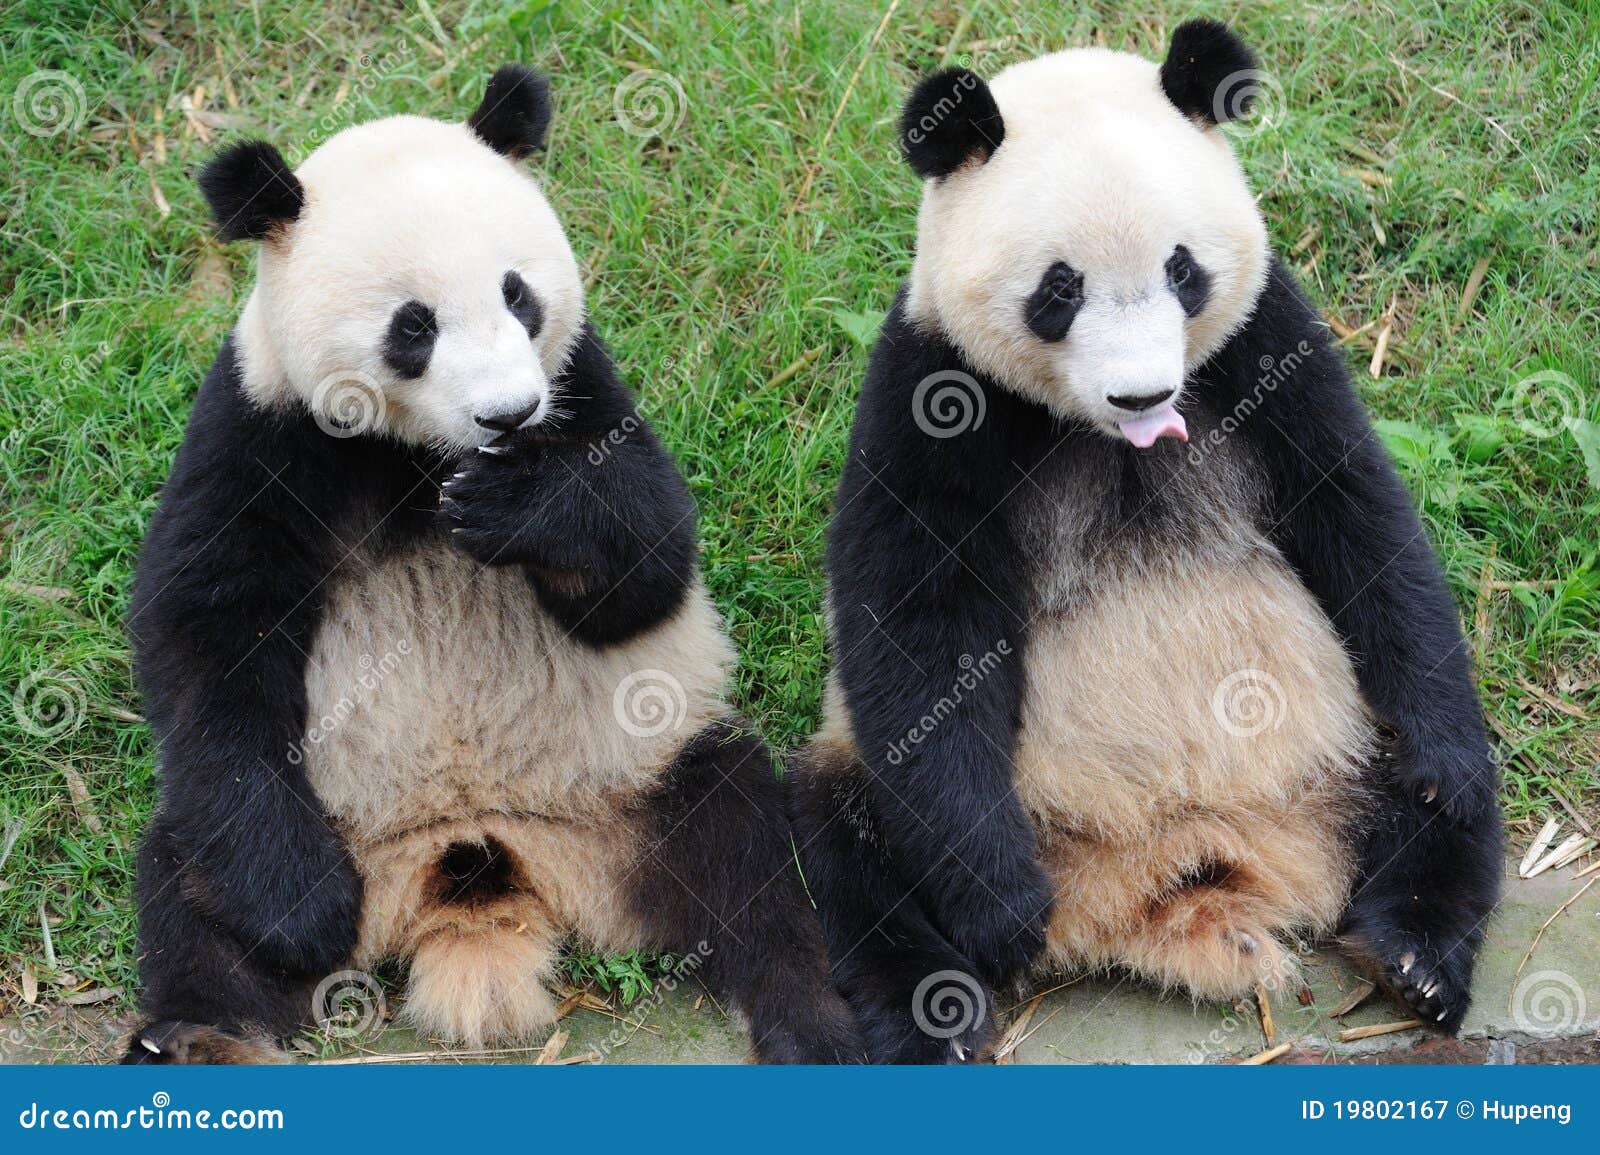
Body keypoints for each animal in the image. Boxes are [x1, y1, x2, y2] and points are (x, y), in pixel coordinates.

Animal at [123, 66, 860, 1065]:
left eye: (519, 295)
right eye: (413, 326)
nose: (508, 414)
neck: (418, 456)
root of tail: (471, 856)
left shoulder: (581, 382)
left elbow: (651, 559)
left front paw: (520, 508)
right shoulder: (261, 427)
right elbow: (208, 628)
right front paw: (298, 909)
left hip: (635, 781)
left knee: (742, 845)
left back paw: (813, 1017)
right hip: (330, 816)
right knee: (189, 891)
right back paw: (200, 1032)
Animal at [791, 20, 1503, 1063]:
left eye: (1182, 269)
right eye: (1059, 290)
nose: (1144, 394)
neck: (1114, 437)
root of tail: (1181, 863)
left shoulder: (1266, 346)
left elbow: (1358, 516)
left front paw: (1441, 765)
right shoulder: (933, 385)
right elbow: (918, 618)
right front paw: (999, 906)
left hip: (1346, 731)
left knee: (1446, 814)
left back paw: (1415, 950)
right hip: (877, 771)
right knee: (841, 844)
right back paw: (938, 1013)